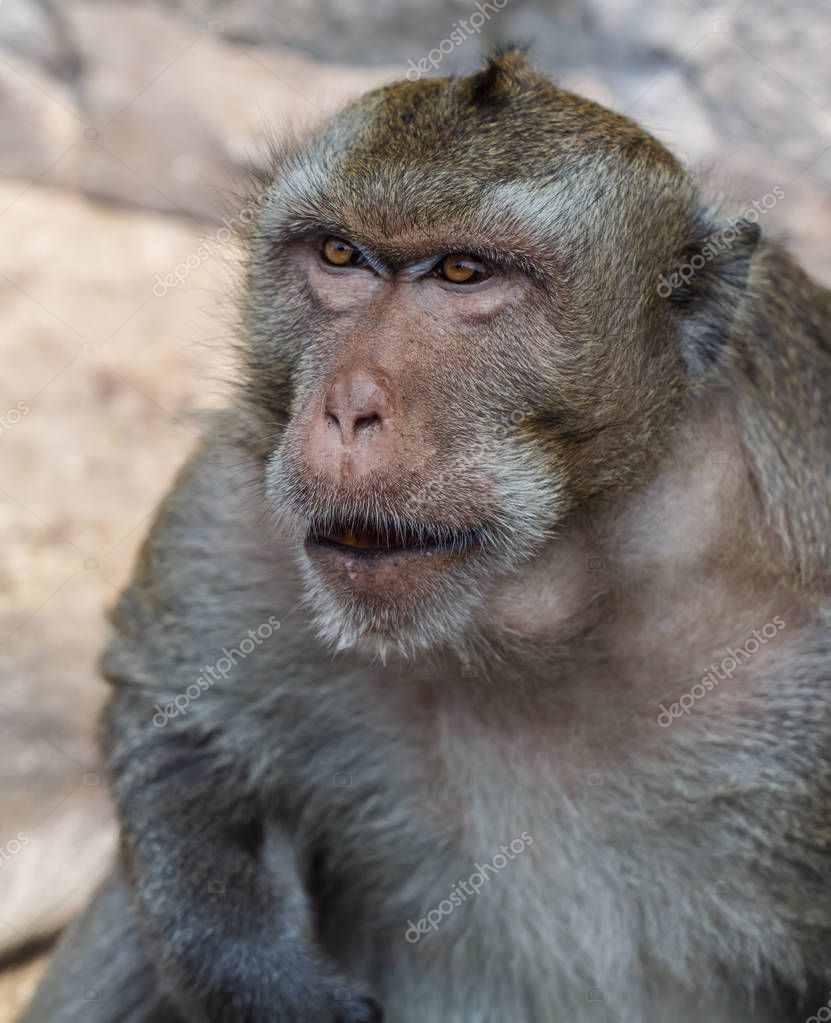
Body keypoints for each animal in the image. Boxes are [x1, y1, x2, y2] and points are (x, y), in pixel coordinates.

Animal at [19, 47, 831, 1023]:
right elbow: (174, 724)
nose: (346, 408)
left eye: (463, 274)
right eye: (339, 254)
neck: (541, 607)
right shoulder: (233, 496)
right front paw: (269, 983)